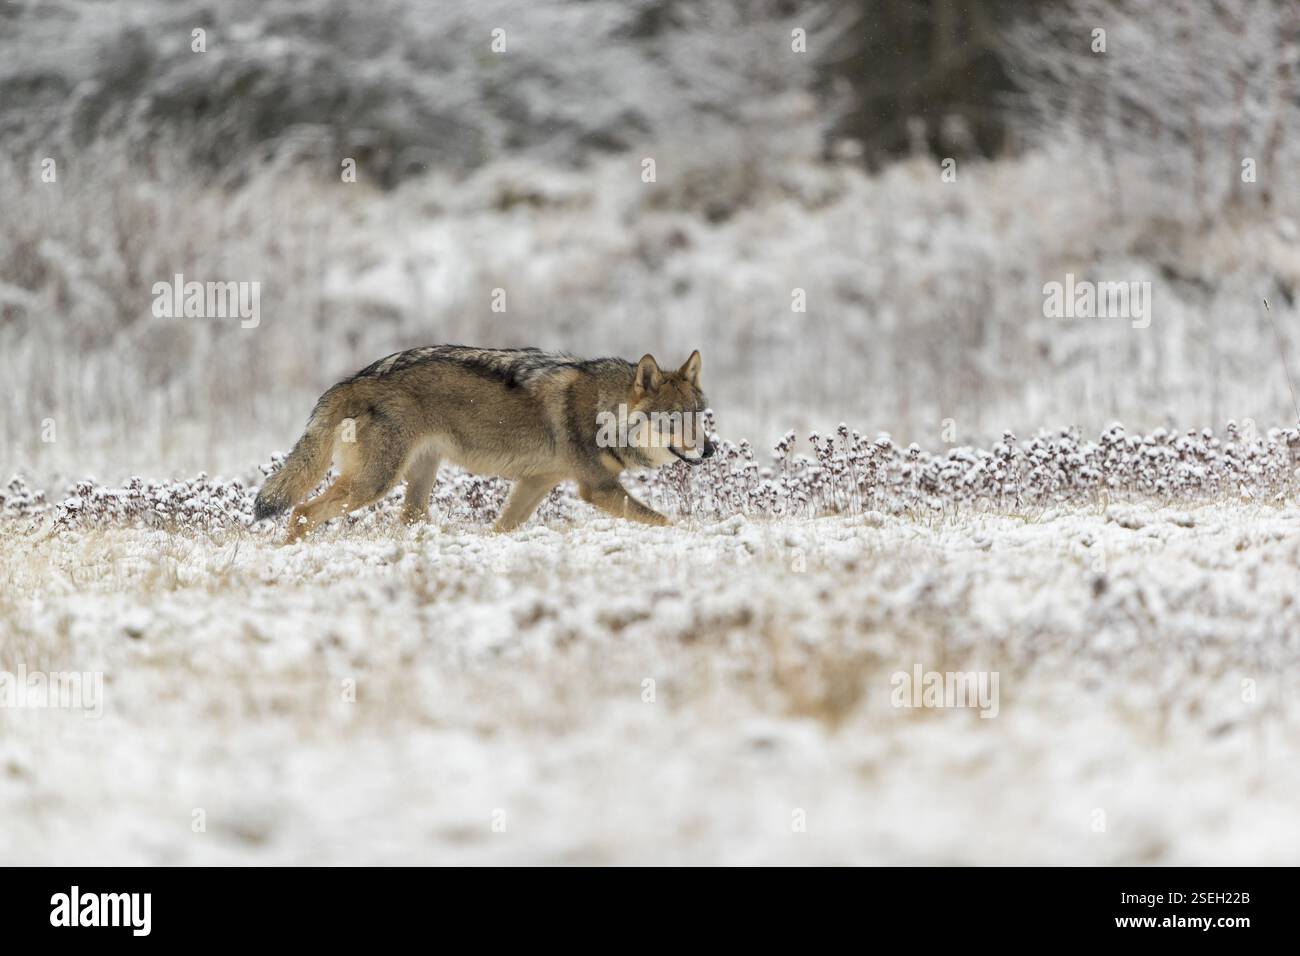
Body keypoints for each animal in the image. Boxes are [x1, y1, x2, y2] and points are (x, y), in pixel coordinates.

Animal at [253, 346, 715, 542]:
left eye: (699, 415)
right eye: (673, 420)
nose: (709, 450)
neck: (607, 411)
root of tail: (350, 381)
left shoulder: (536, 482)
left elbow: (502, 526)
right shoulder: (597, 489)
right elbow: (662, 520)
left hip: (417, 478)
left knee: (407, 519)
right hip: (374, 483)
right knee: (301, 510)